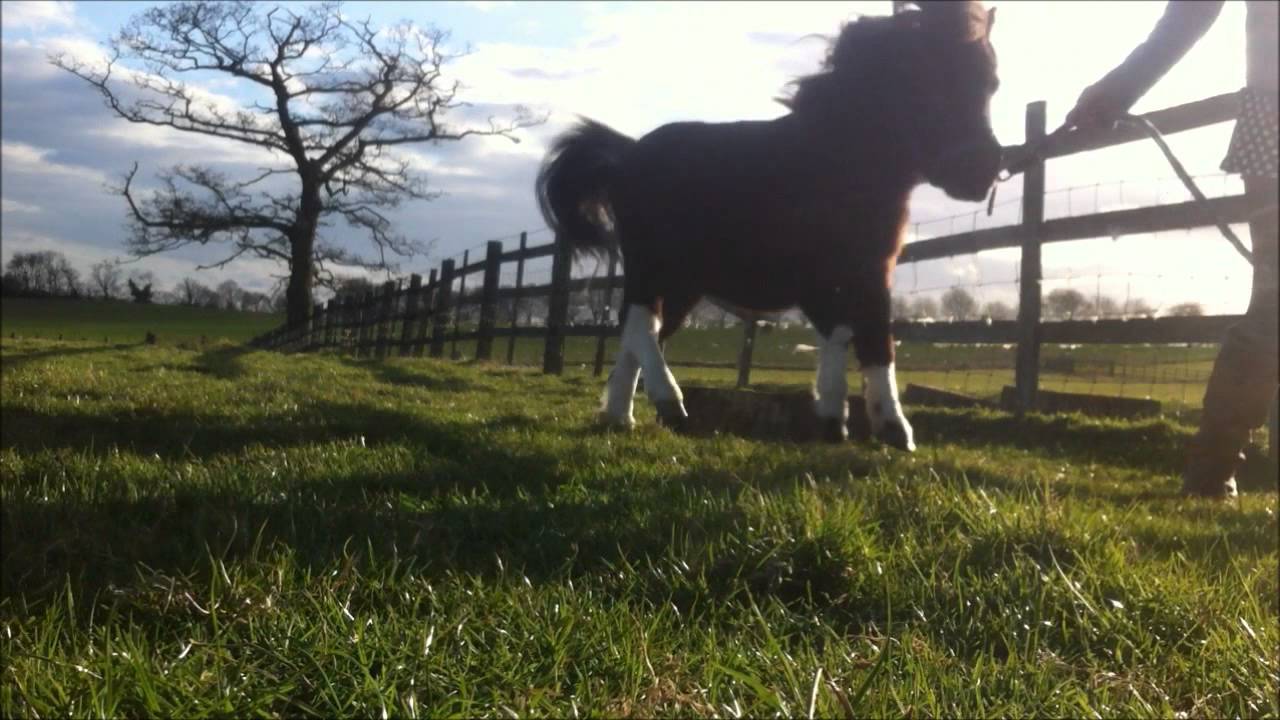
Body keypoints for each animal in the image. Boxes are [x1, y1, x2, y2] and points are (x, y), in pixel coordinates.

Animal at [535, 1, 1002, 451]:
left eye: (991, 83)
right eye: (927, 78)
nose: (981, 170)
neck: (836, 164)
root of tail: (628, 154)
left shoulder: (866, 273)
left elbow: (866, 337)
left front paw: (861, 422)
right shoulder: (826, 278)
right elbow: (855, 334)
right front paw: (863, 420)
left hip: (683, 283)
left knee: (640, 335)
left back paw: (619, 416)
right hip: (649, 264)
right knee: (639, 324)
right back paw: (668, 403)